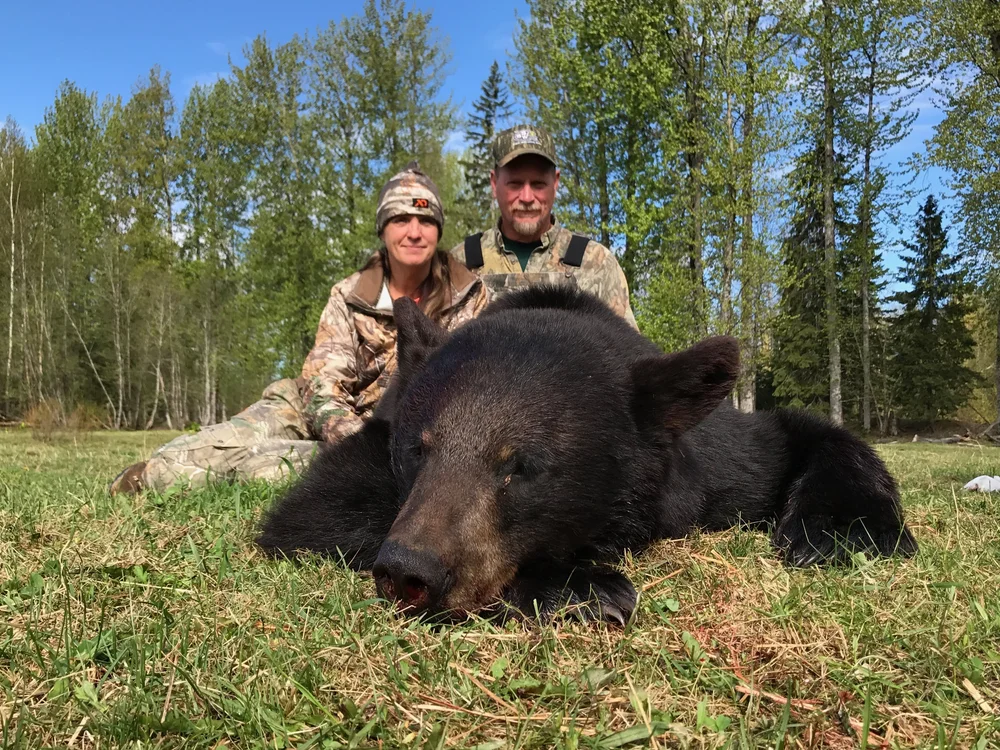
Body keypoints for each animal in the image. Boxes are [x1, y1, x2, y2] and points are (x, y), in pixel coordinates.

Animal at [255, 285, 917, 624]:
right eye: (417, 450)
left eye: (519, 465)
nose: (408, 571)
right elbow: (316, 509)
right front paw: (585, 587)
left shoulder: (712, 469)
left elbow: (796, 436)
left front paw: (838, 531)